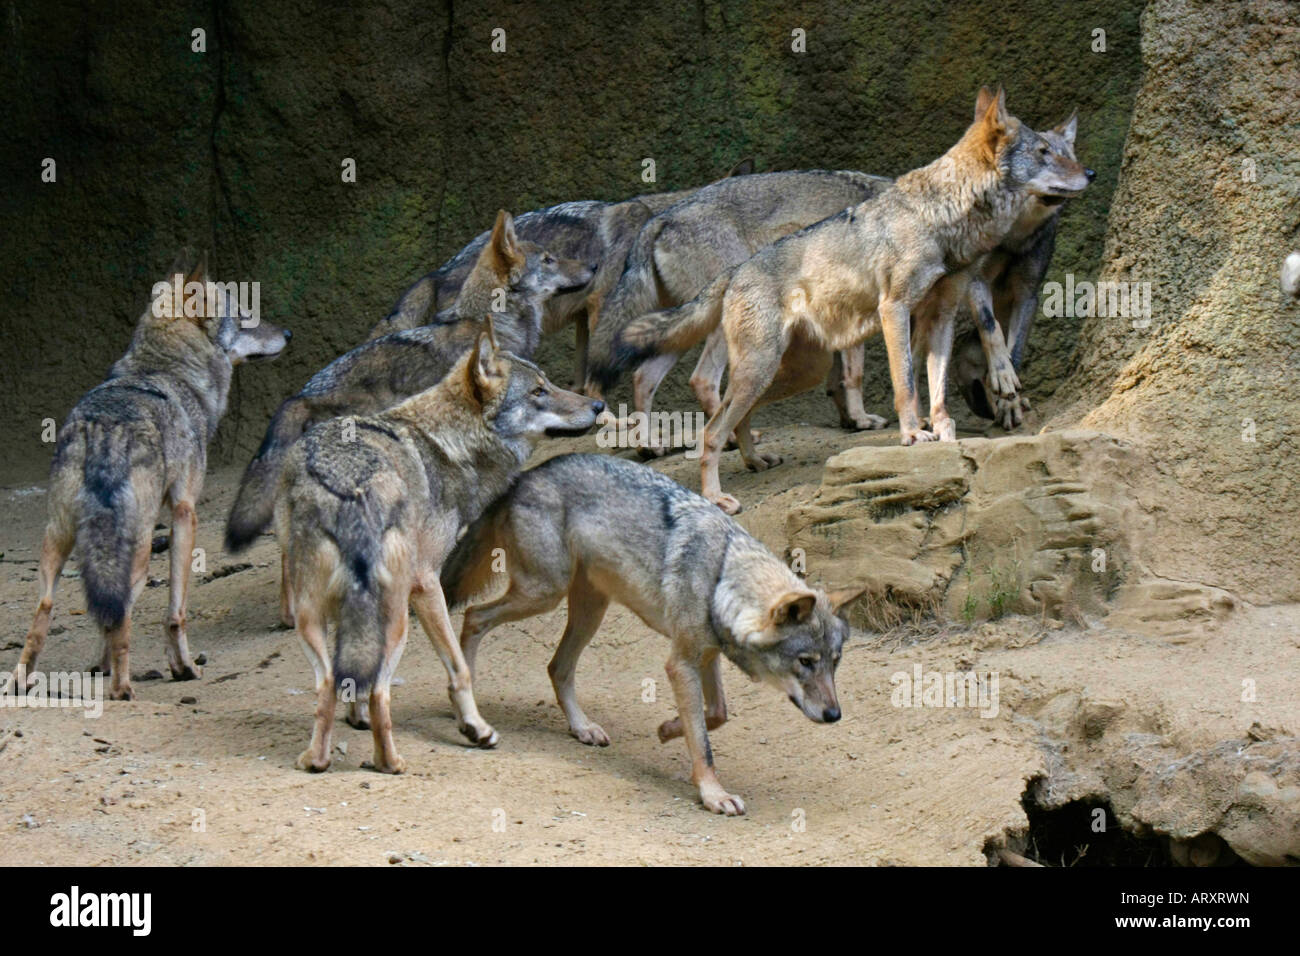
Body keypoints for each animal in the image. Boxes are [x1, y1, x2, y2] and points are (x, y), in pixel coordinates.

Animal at [9, 253, 290, 701]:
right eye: (246, 315)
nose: (289, 333)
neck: (165, 367)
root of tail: (105, 433)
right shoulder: (185, 512)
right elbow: (176, 609)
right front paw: (184, 667)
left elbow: (104, 619)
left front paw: (100, 665)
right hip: (136, 549)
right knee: (122, 612)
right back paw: (123, 689)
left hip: (57, 540)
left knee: (48, 610)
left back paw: (23, 681)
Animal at [275, 327, 602, 773]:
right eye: (539, 391)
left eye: (549, 383)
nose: (599, 405)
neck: (450, 443)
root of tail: (350, 482)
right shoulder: (427, 583)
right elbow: (459, 668)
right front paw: (474, 728)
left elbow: (354, 676)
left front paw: (354, 717)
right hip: (397, 615)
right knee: (382, 690)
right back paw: (390, 763)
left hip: (311, 615)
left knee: (327, 683)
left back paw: (316, 760)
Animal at [440, 453, 863, 815]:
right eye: (805, 662)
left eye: (835, 663)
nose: (834, 715)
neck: (721, 576)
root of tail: (525, 475)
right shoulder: (680, 663)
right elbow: (704, 743)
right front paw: (714, 795)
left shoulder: (705, 656)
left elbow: (716, 715)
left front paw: (667, 729)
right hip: (544, 594)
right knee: (474, 616)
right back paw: (465, 704)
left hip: (588, 611)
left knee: (556, 667)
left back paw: (582, 728)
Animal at [585, 170, 894, 441]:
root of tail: (662, 217)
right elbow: (854, 375)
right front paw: (862, 420)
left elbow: (836, 380)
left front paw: (850, 420)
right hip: (724, 325)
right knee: (701, 379)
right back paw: (735, 438)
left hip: (683, 325)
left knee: (643, 376)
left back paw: (650, 447)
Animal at [951, 114, 1085, 429]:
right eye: (1044, 155)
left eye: (1070, 158)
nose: (1090, 174)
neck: (1013, 237)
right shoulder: (977, 283)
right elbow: (992, 330)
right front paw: (1003, 377)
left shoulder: (1028, 294)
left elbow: (1016, 351)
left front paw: (1010, 402)